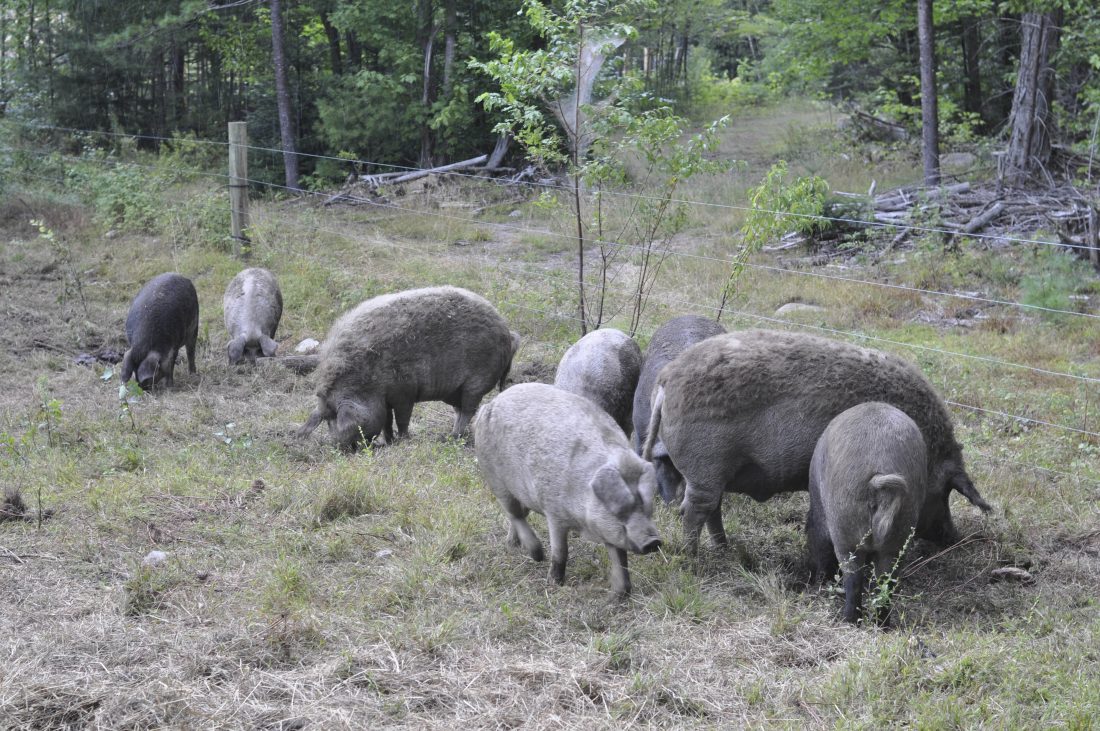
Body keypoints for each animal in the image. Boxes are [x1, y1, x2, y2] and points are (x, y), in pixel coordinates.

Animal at [297, 286, 520, 449]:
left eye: (336, 416)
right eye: (327, 421)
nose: (340, 447)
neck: (364, 380)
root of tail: (507, 332)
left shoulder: (404, 391)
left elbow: (402, 418)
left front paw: (403, 439)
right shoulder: (386, 399)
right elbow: (387, 421)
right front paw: (388, 441)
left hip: (476, 381)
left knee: (468, 410)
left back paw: (453, 437)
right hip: (455, 390)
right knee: (460, 410)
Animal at [474, 382, 662, 598]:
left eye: (647, 506)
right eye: (622, 509)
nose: (654, 541)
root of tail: (489, 404)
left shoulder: (607, 529)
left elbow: (620, 560)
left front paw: (618, 596)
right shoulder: (553, 511)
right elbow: (561, 551)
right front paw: (554, 583)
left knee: (518, 515)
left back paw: (513, 546)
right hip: (496, 478)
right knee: (514, 513)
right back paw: (537, 555)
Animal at [643, 329, 991, 555]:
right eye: (946, 491)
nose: (953, 536)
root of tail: (666, 380)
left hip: (712, 472)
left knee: (711, 509)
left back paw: (724, 550)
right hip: (705, 464)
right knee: (693, 510)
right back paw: (694, 559)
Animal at [806, 402, 926, 624]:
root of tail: (878, 473)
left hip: (845, 527)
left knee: (853, 578)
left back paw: (849, 620)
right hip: (902, 529)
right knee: (886, 581)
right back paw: (882, 624)